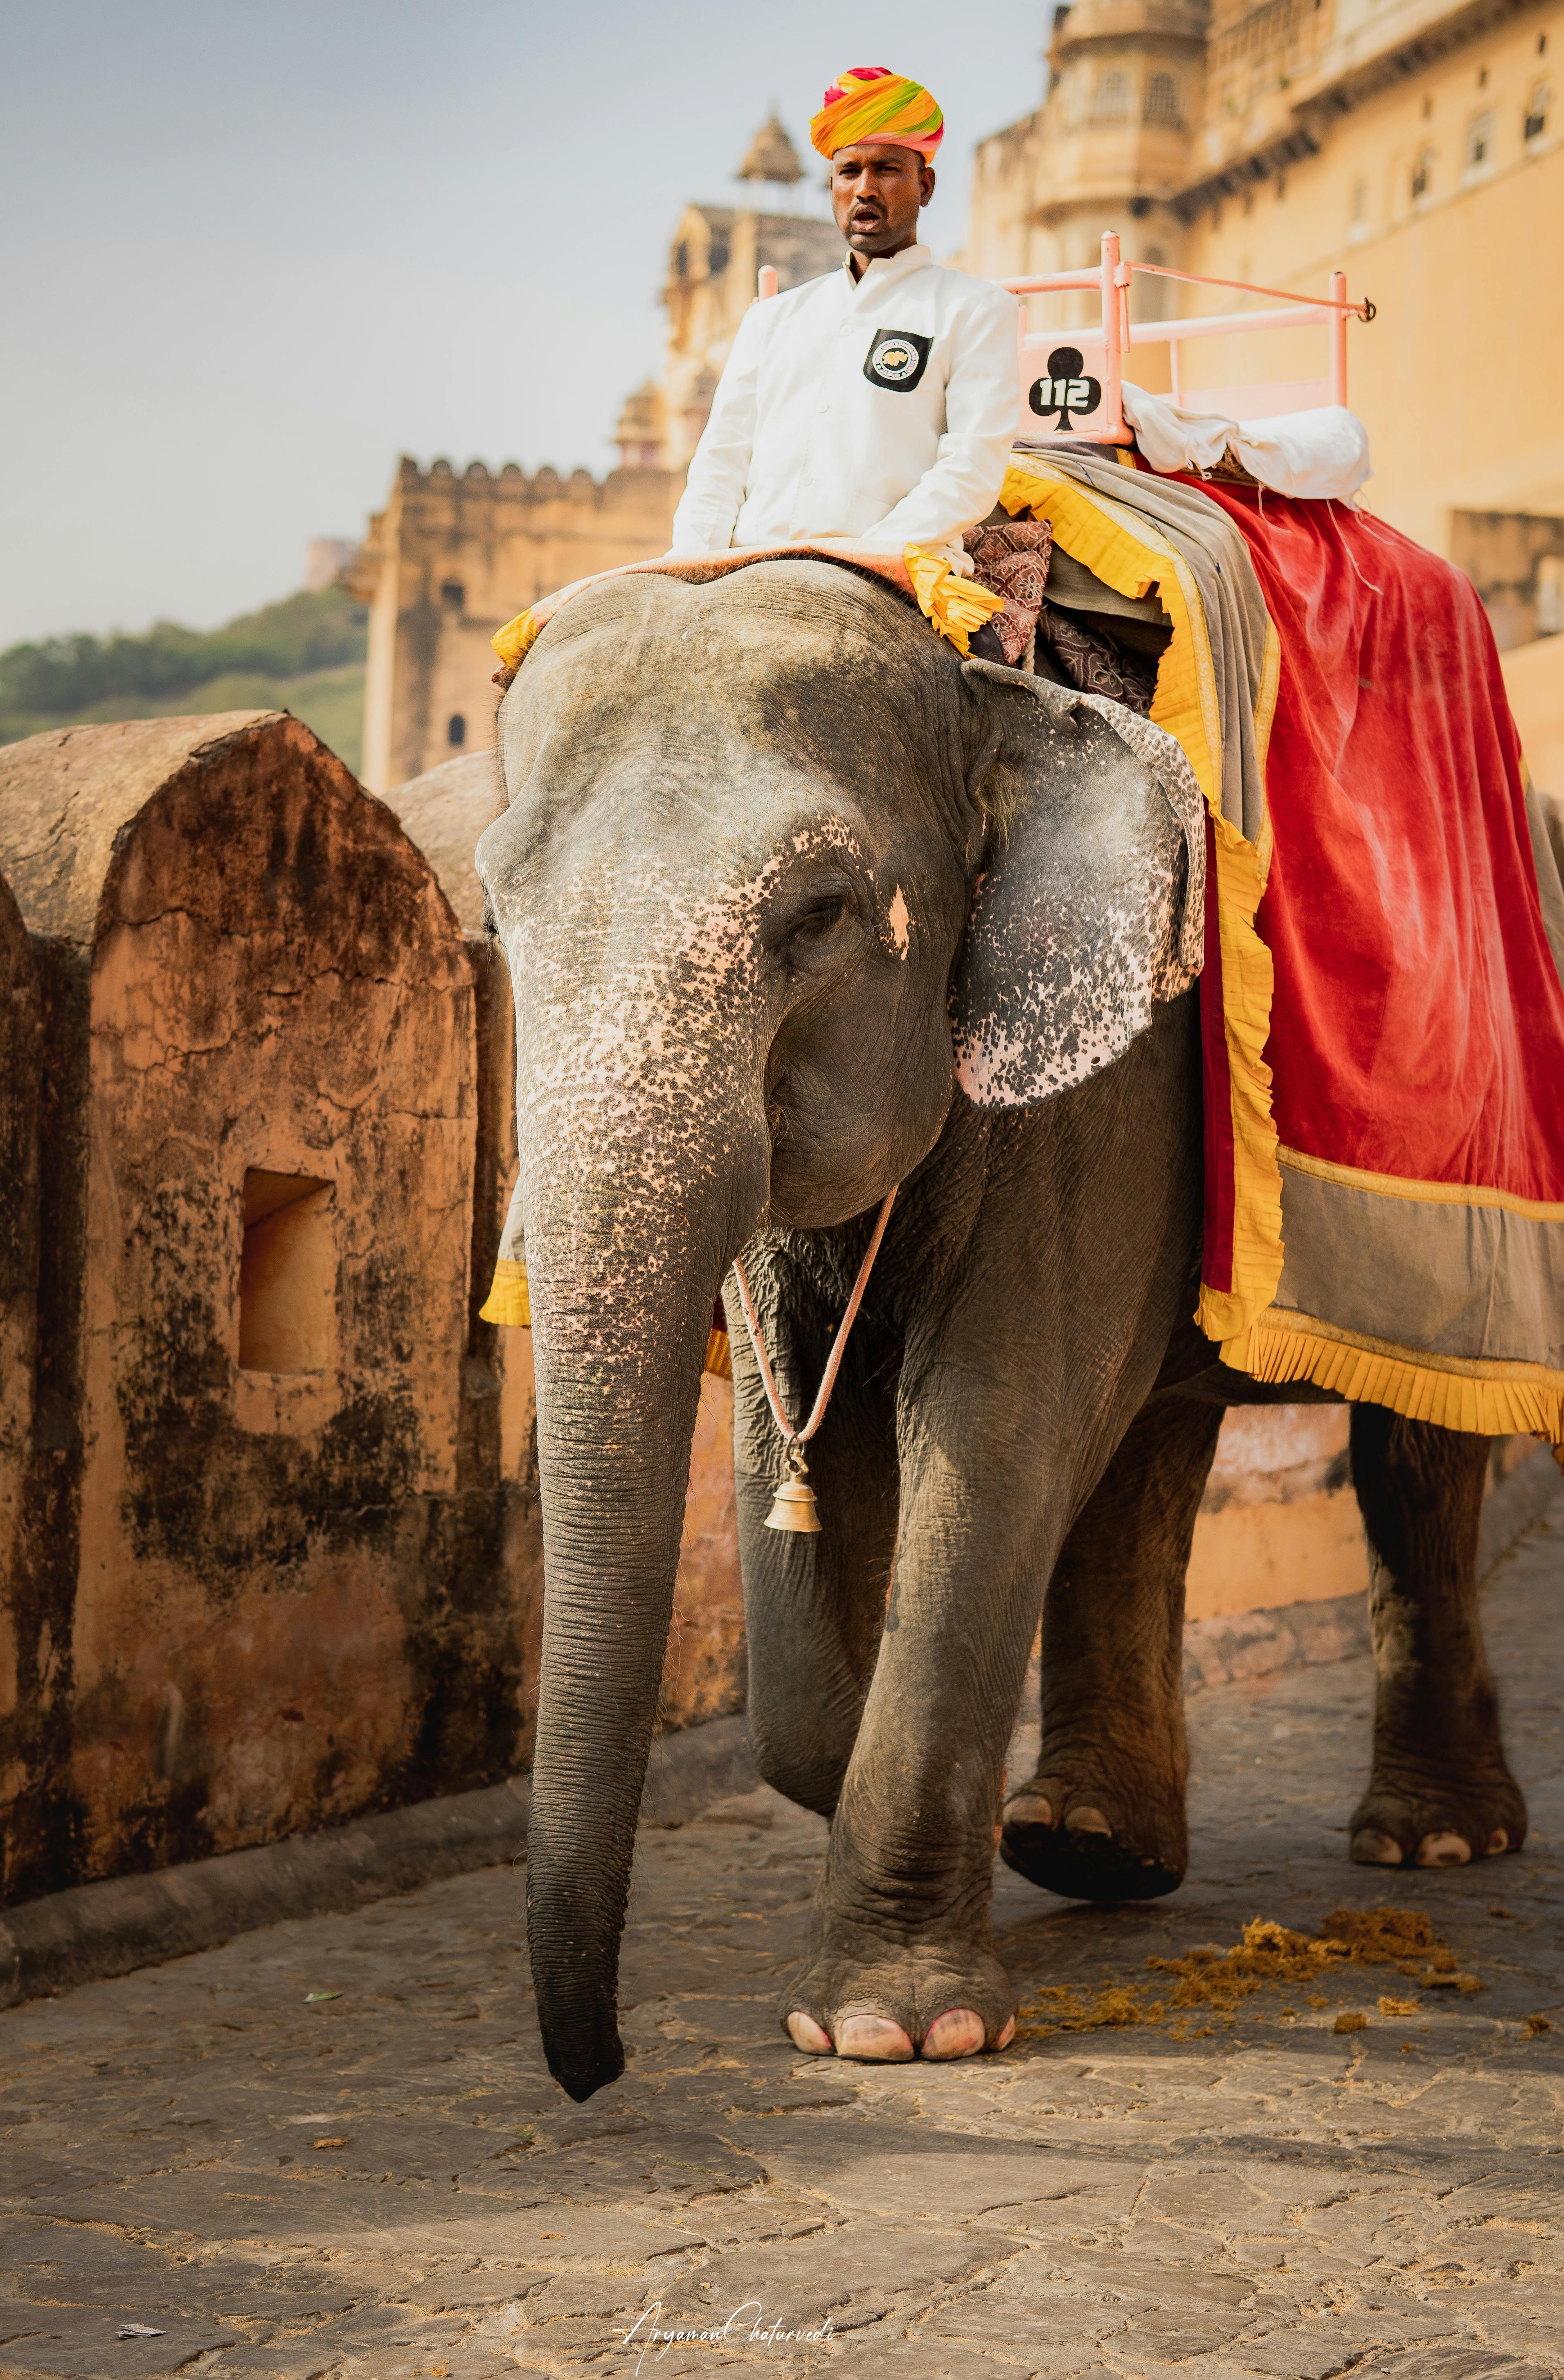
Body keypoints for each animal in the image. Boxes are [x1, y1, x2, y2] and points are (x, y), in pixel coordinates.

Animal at [476, 557, 1526, 2104]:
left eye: (819, 912)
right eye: (494, 919)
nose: (599, 2070)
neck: (976, 687)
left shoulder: (1111, 1070)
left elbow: (997, 1421)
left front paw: (891, 2029)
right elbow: (799, 1457)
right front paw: (878, 1794)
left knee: (1412, 1443)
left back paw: (1432, 1840)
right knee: (1148, 1446)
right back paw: (1085, 1845)